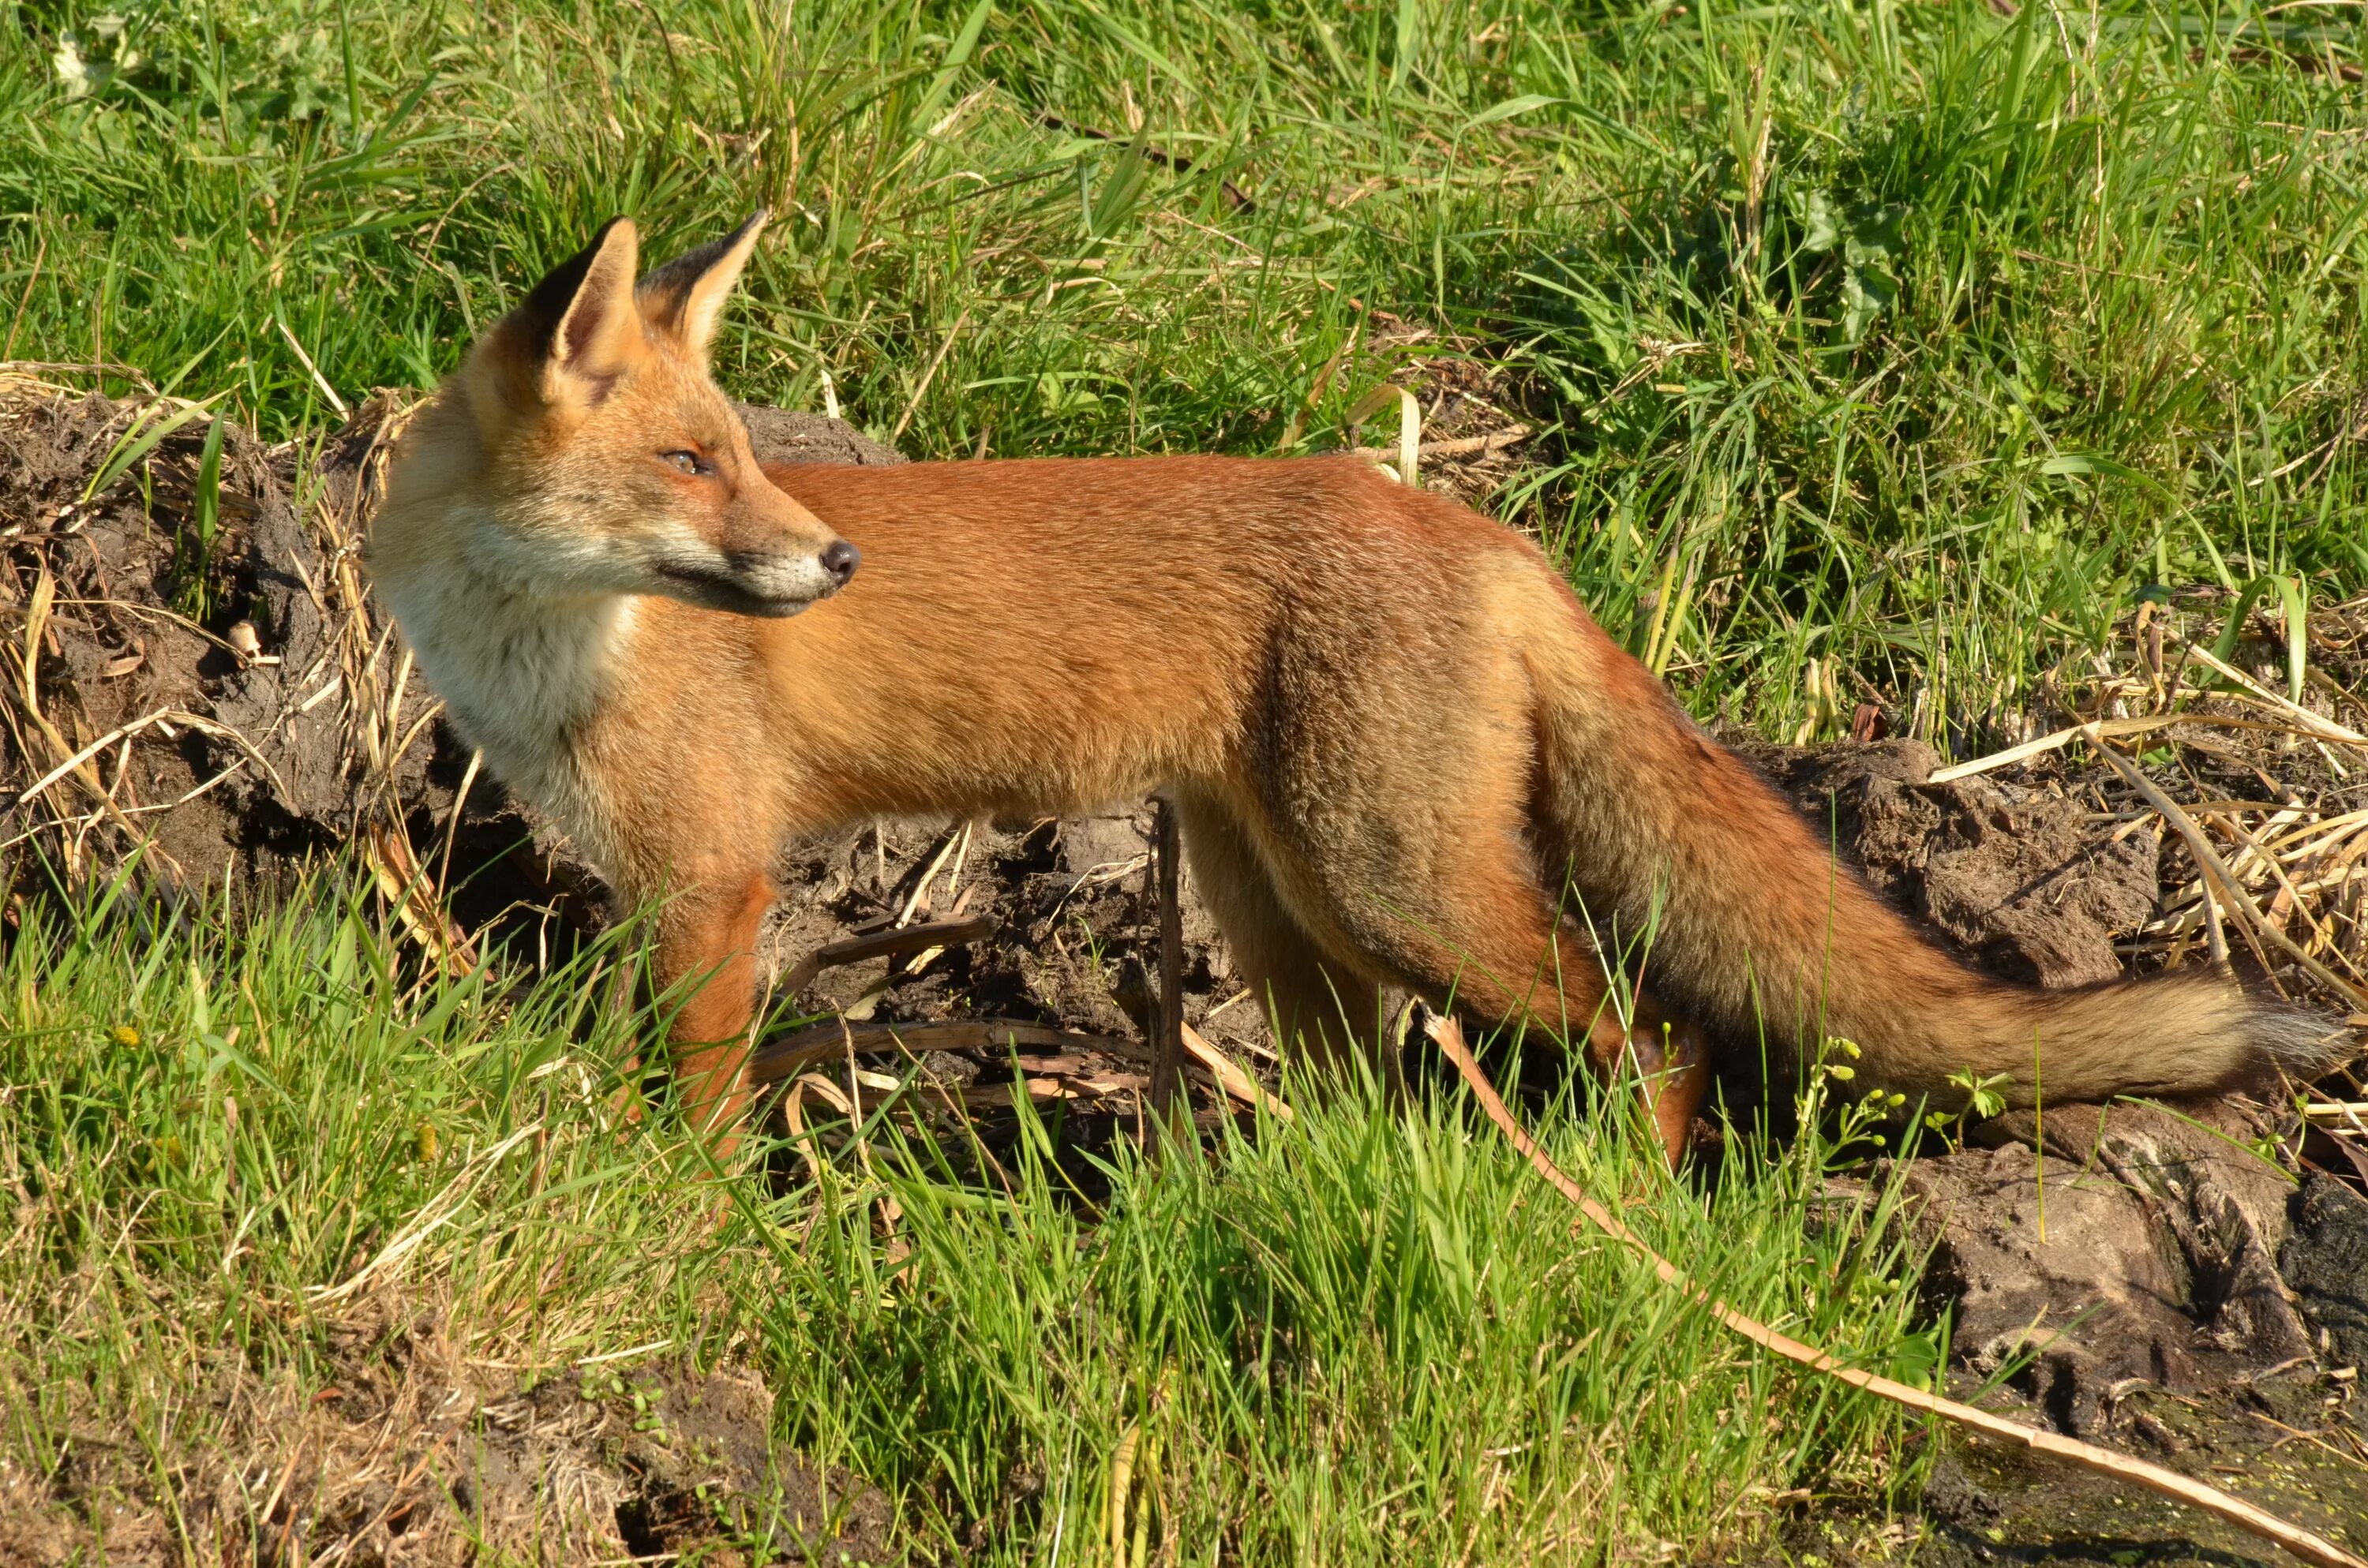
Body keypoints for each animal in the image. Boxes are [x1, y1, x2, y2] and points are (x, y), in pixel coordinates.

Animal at [369, 215, 2330, 1160]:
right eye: (691, 462)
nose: (835, 564)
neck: (544, 647)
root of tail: (1467, 519)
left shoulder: (713, 880)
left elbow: (694, 1110)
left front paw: (690, 1224)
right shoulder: (661, 884)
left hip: (1396, 887)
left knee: (1658, 1028)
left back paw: (1633, 1217)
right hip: (1286, 907)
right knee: (1384, 1090)